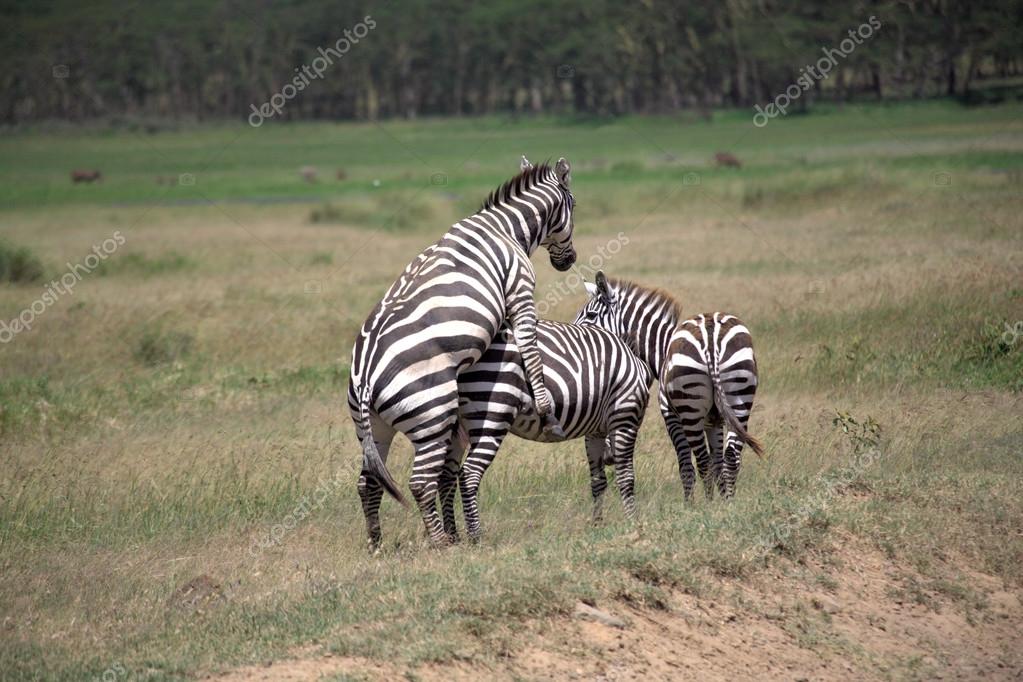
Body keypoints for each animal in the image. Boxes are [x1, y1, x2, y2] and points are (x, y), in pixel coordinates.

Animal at [347, 158, 577, 549]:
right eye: (574, 206)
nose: (571, 260)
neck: (506, 228)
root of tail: (365, 376)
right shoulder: (521, 290)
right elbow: (529, 346)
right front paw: (546, 408)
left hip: (372, 429)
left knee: (368, 482)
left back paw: (376, 543)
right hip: (432, 412)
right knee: (420, 482)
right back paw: (441, 542)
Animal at [437, 317, 652, 542]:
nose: (609, 457)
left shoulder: (596, 431)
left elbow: (598, 481)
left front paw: (597, 525)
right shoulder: (625, 417)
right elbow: (626, 478)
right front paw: (633, 524)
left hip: (458, 425)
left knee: (446, 476)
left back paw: (452, 535)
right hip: (493, 413)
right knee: (469, 474)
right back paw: (475, 536)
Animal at [574, 271, 763, 499]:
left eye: (591, 315)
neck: (663, 350)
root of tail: (710, 338)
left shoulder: (670, 416)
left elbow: (687, 467)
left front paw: (694, 504)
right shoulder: (715, 422)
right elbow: (717, 463)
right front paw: (724, 501)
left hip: (691, 410)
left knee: (702, 462)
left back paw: (707, 505)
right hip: (739, 398)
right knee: (730, 459)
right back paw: (727, 503)